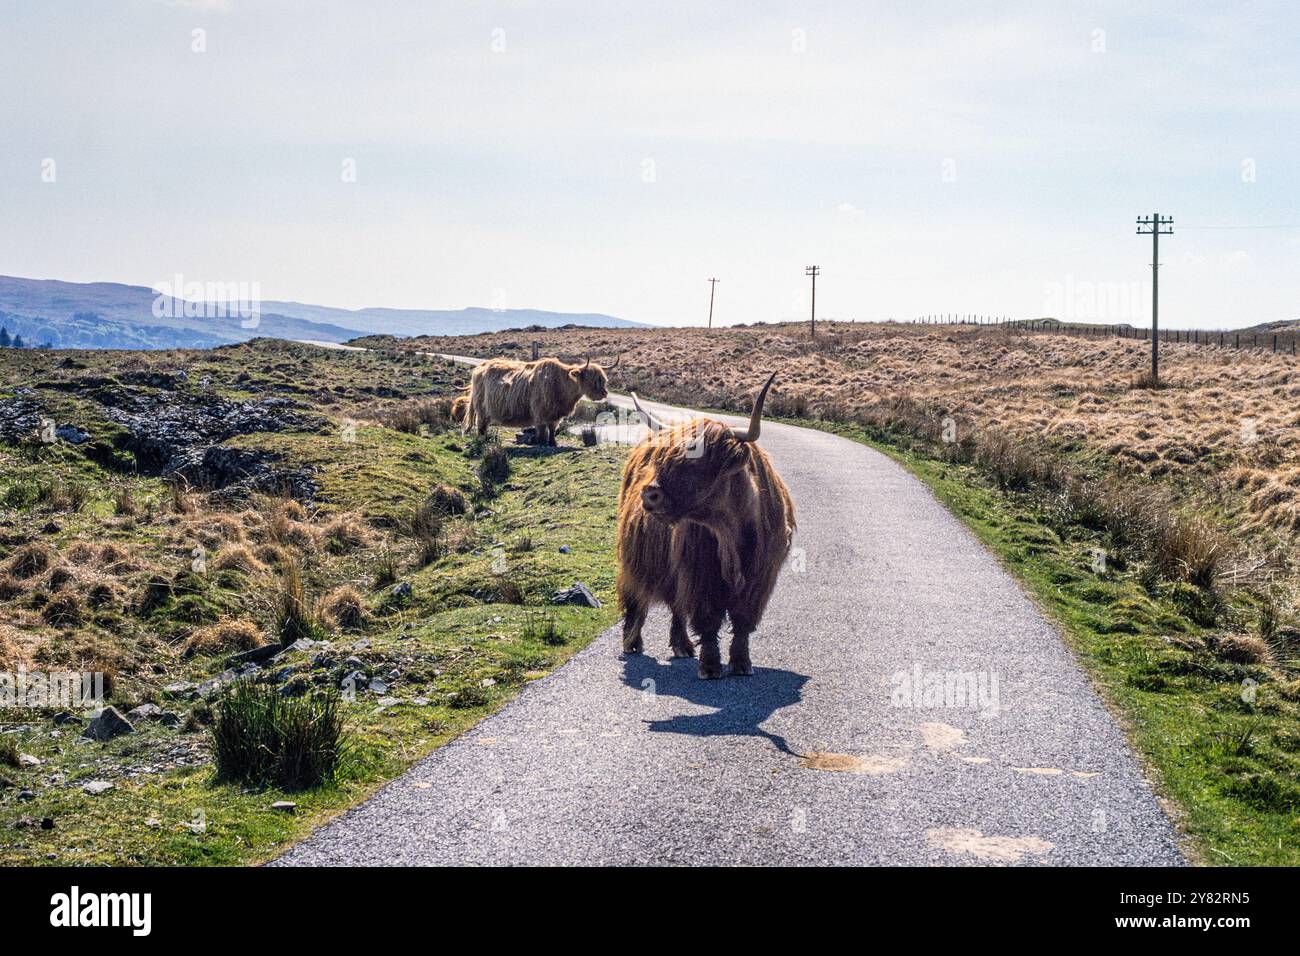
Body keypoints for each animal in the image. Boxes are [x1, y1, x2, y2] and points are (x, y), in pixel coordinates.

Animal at [463, 355, 616, 446]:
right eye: (592, 379)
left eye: (603, 379)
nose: (604, 392)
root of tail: (480, 367)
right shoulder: (540, 411)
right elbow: (542, 429)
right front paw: (542, 442)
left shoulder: (555, 414)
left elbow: (552, 428)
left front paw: (552, 443)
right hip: (481, 409)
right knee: (481, 425)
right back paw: (482, 440)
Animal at [617, 373, 795, 679]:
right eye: (663, 459)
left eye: (696, 462)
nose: (649, 494)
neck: (729, 529)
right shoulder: (699, 574)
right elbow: (708, 619)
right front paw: (710, 666)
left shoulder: (760, 577)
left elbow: (743, 621)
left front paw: (741, 663)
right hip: (637, 557)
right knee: (637, 595)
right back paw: (632, 642)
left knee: (676, 605)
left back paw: (682, 646)